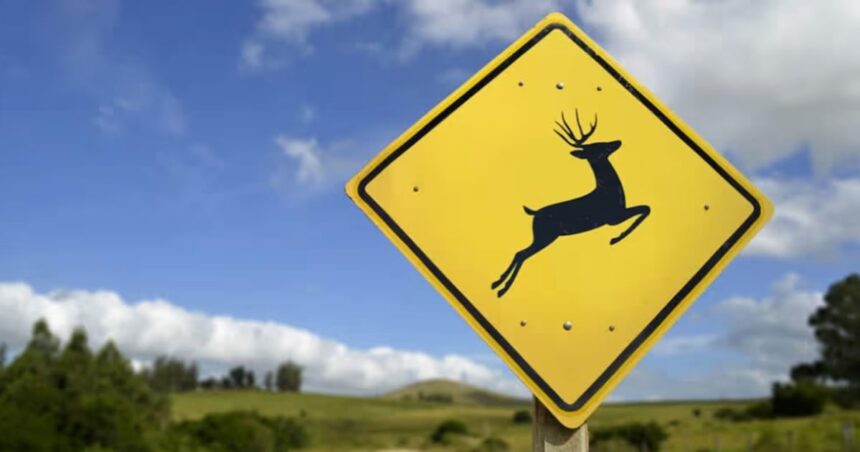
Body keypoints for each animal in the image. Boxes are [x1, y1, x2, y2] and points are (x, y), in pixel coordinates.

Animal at [491, 109, 650, 298]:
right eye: (599, 146)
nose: (617, 141)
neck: (610, 192)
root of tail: (534, 213)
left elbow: (645, 209)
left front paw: (616, 238)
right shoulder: (612, 217)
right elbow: (645, 209)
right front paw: (616, 239)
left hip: (542, 236)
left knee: (519, 252)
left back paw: (496, 283)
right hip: (545, 235)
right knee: (522, 254)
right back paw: (502, 289)